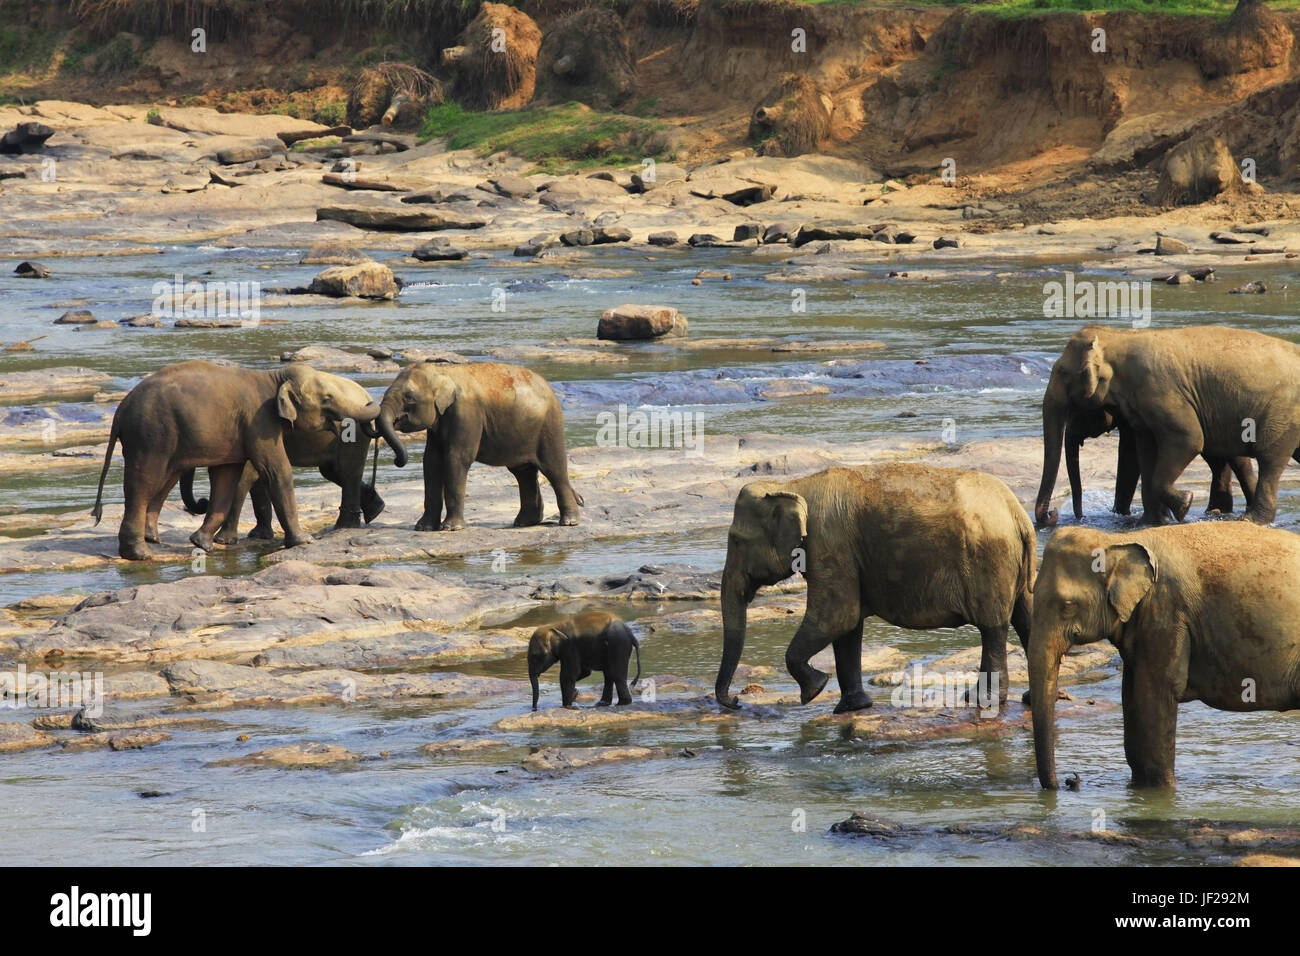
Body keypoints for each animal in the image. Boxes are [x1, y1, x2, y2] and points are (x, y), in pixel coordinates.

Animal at [177, 414, 407, 544]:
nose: (202, 502)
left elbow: (244, 478)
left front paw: (223, 541)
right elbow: (258, 479)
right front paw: (258, 536)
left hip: (353, 435)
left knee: (347, 471)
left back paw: (345, 526)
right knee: (332, 471)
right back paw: (375, 509)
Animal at [377, 360, 582, 531]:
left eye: (409, 397)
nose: (397, 461)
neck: (443, 372)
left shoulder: (467, 414)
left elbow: (456, 459)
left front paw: (451, 528)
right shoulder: (437, 425)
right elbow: (431, 461)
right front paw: (423, 528)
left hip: (550, 425)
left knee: (554, 470)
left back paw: (569, 522)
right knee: (524, 472)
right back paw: (524, 523)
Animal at [714, 464, 1035, 714]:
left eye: (737, 541)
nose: (735, 702)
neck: (791, 486)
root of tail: (1018, 513)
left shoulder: (829, 545)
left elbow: (837, 616)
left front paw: (815, 690)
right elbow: (848, 626)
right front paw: (852, 707)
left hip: (989, 560)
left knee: (993, 627)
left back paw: (982, 701)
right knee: (1027, 617)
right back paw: (1029, 698)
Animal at [1029, 523, 1300, 790]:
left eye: (1067, 605)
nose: (1070, 780)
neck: (1117, 539)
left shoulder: (1166, 613)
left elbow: (1156, 692)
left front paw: (1160, 791)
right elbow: (1130, 693)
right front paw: (1140, 788)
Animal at [1064, 406, 1257, 522]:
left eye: (1077, 410)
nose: (1082, 517)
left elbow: (1129, 454)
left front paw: (1120, 515)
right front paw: (1119, 514)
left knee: (1233, 459)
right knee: (1217, 460)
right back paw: (1216, 511)